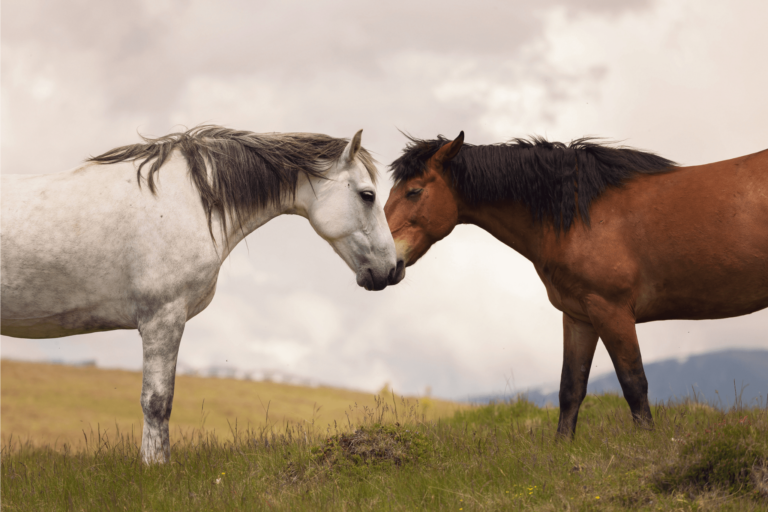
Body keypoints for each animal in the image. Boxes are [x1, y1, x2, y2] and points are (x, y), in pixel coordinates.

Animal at [1, 125, 398, 462]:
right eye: (368, 195)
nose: (391, 269)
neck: (186, 202)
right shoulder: (163, 319)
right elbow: (157, 401)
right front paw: (154, 466)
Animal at [384, 131, 768, 437]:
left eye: (414, 191)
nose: (384, 263)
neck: (579, 216)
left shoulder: (612, 311)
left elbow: (634, 384)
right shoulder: (580, 317)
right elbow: (570, 388)